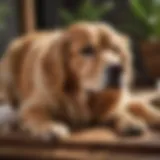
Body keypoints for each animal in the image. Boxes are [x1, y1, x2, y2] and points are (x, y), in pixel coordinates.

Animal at [0, 21, 159, 139]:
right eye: (87, 50)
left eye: (115, 49)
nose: (118, 69)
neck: (84, 98)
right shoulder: (32, 105)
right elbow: (37, 114)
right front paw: (49, 127)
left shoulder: (121, 99)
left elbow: (135, 107)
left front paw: (131, 120)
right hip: (12, 55)